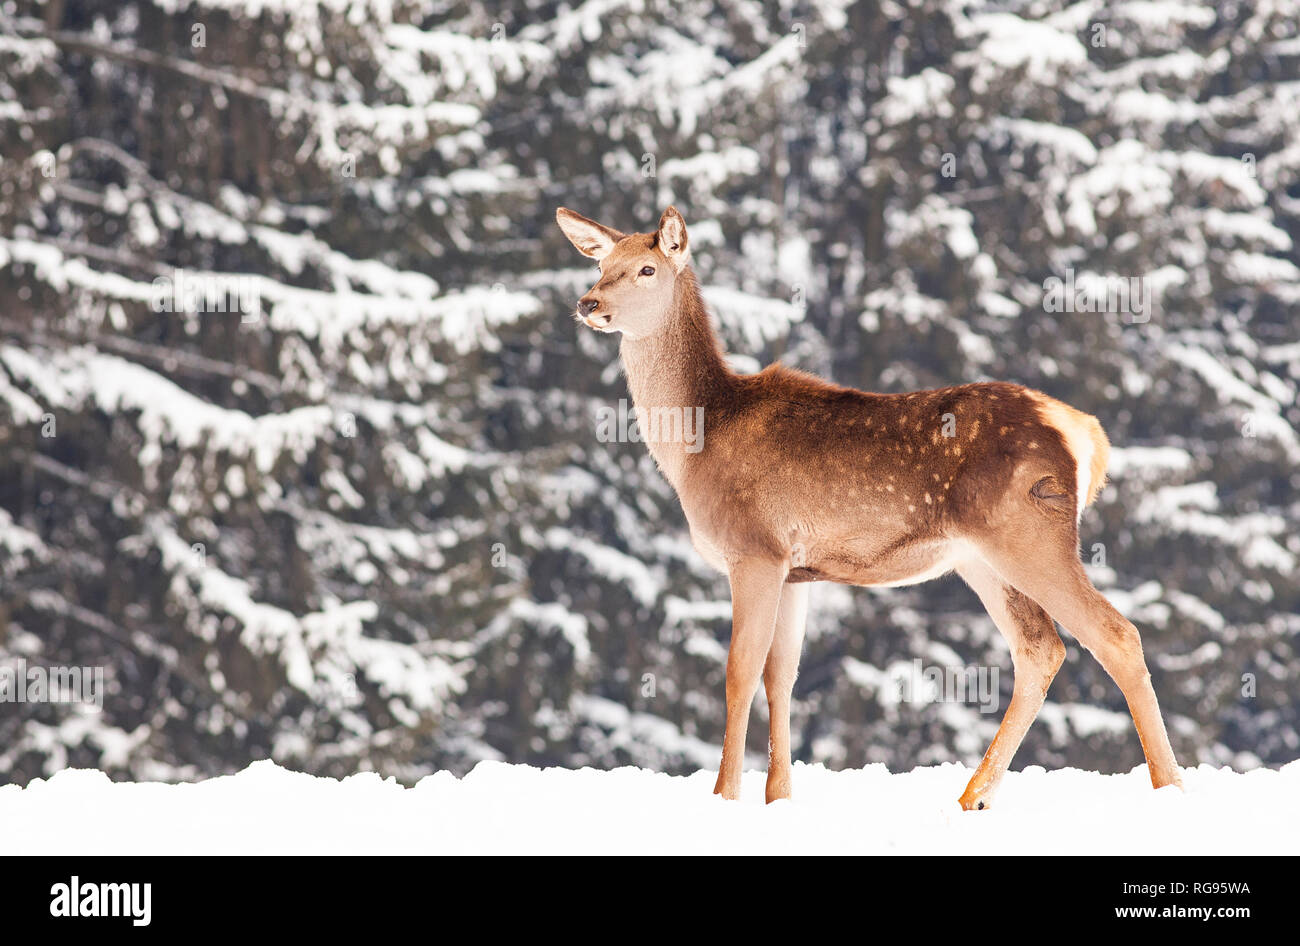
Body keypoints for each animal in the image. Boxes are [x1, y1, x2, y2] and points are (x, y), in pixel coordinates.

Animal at [556, 204, 1184, 808]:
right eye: (601, 264)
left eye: (646, 269)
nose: (588, 303)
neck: (696, 444)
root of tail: (1084, 430)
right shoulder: (794, 570)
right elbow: (781, 676)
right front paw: (778, 797)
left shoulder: (754, 548)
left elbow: (739, 672)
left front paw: (724, 796)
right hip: (979, 558)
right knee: (1039, 650)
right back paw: (973, 798)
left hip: (1029, 531)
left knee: (1115, 634)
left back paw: (1170, 788)